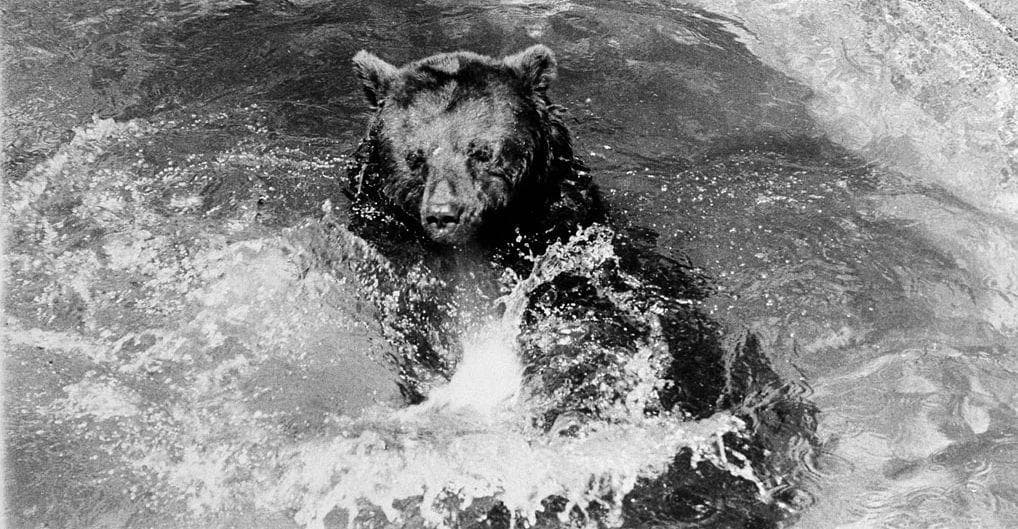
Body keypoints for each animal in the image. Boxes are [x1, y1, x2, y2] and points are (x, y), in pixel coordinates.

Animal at [340, 46, 818, 528]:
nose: (444, 213)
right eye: (415, 156)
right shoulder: (403, 279)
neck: (482, 254)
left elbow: (584, 345)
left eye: (481, 150)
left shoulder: (573, 271)